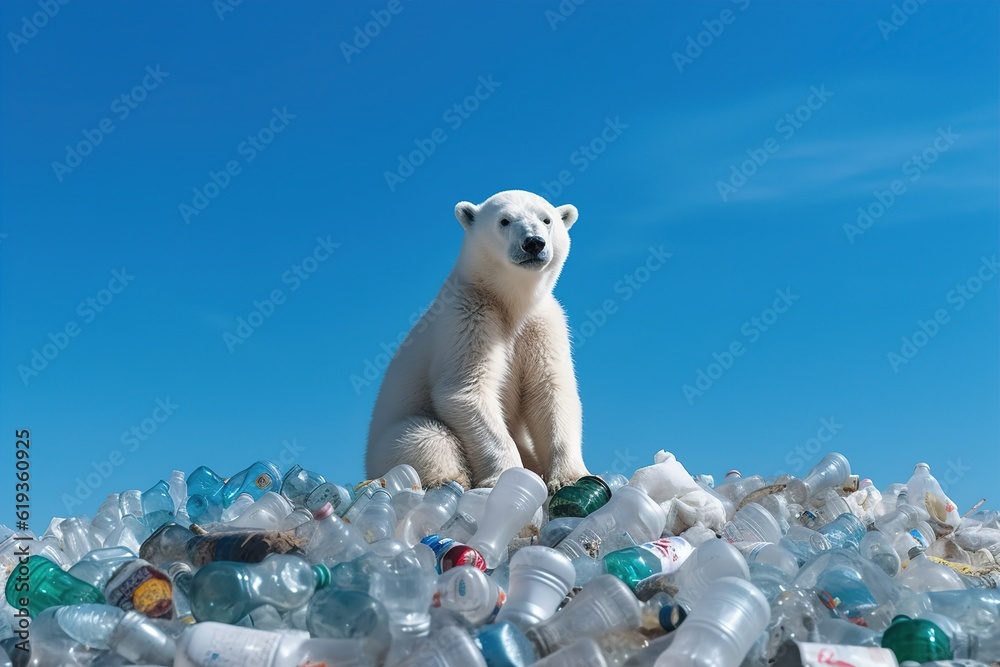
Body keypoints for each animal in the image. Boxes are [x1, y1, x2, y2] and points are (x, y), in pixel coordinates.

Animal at [366, 190, 590, 492]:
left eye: (547, 219)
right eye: (504, 220)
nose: (533, 243)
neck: (512, 303)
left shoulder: (544, 325)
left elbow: (550, 391)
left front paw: (570, 477)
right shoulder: (468, 316)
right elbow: (467, 389)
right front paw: (504, 477)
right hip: (389, 445)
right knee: (421, 434)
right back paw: (450, 479)